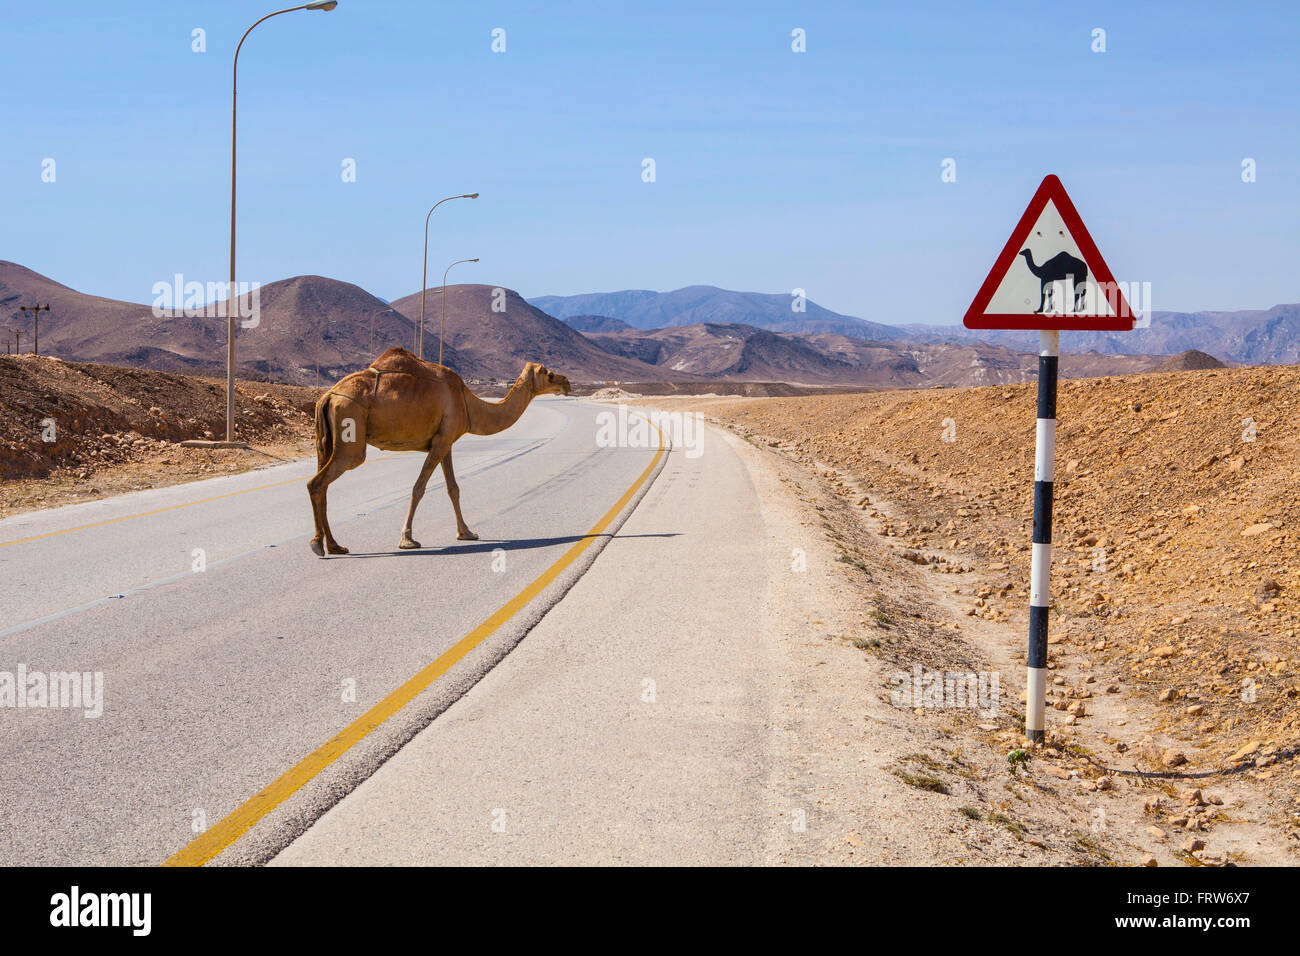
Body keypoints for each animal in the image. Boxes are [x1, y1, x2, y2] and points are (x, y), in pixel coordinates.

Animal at [307, 347, 571, 556]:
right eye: (548, 373)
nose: (566, 382)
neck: (467, 402)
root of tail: (327, 397)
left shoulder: (446, 442)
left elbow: (453, 488)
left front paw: (466, 532)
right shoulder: (442, 441)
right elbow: (419, 488)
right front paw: (407, 539)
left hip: (325, 442)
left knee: (322, 485)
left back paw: (334, 546)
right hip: (350, 432)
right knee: (317, 482)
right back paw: (320, 544)